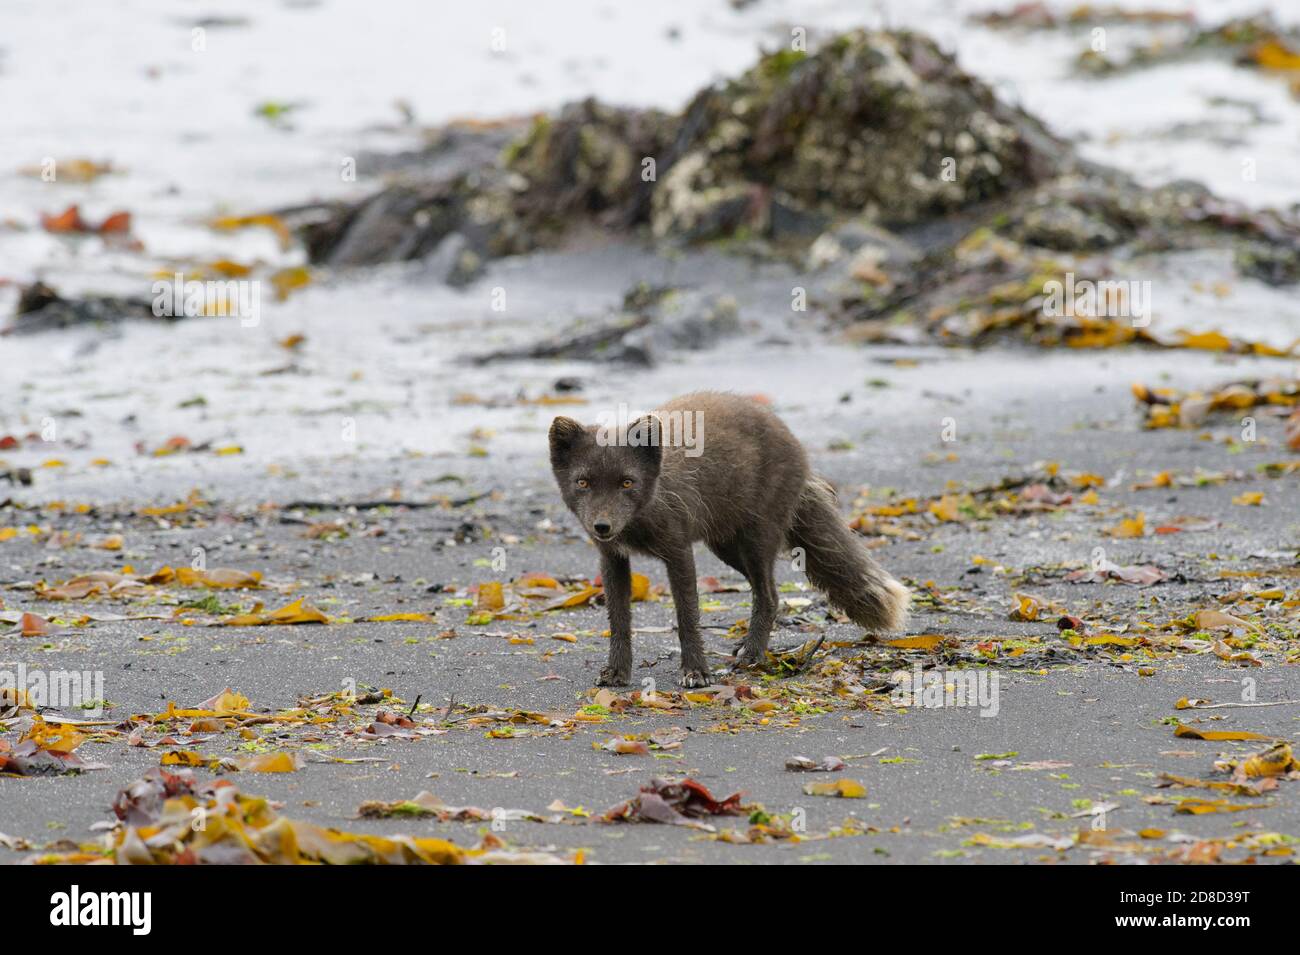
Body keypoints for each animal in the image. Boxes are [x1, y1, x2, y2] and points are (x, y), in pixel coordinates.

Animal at [549, 391, 909, 688]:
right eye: (582, 482)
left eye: (627, 483)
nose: (602, 526)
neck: (645, 512)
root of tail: (794, 442)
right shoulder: (612, 557)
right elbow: (619, 620)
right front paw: (617, 672)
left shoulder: (678, 550)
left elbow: (687, 615)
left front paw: (696, 672)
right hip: (725, 546)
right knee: (766, 593)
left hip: (757, 540)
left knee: (769, 595)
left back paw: (752, 655)